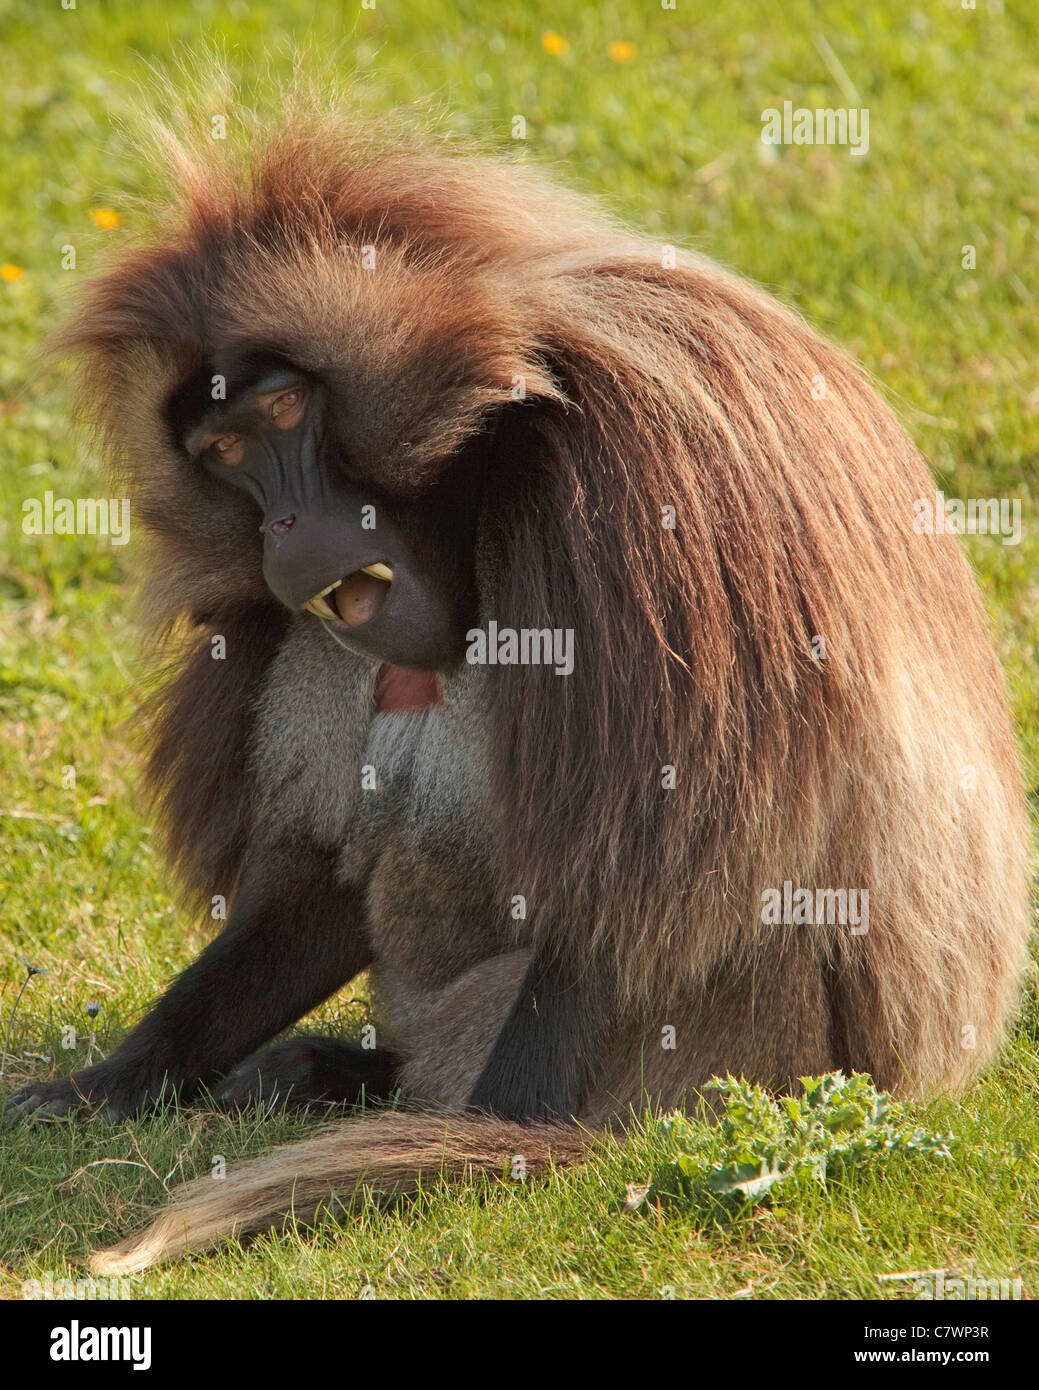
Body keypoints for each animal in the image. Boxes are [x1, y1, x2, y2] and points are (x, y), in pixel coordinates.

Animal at [6, 107, 1031, 1275]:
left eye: (286, 408)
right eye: (224, 450)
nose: (284, 527)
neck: (493, 441)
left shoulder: (643, 486)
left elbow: (633, 877)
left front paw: (480, 1148)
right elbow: (319, 877)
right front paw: (110, 1082)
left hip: (780, 1059)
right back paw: (332, 1076)